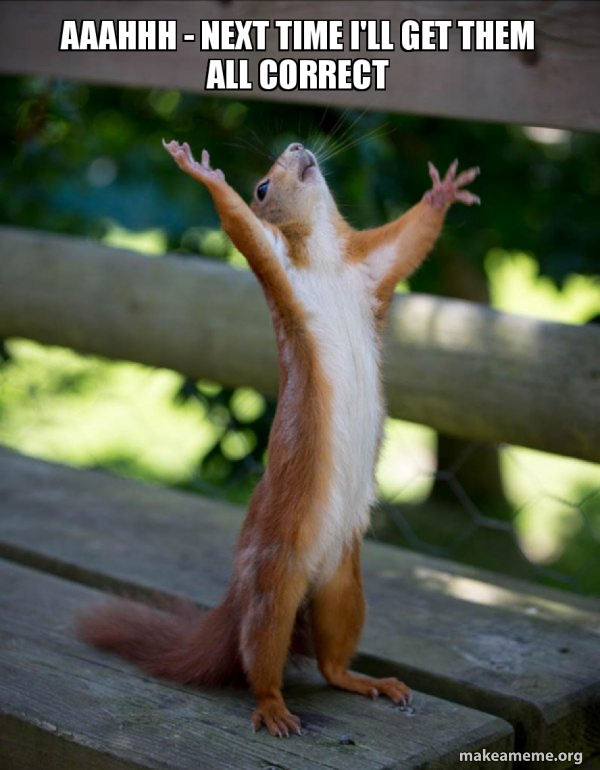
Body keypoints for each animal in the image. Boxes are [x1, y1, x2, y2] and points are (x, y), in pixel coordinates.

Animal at [77, 138, 479, 738]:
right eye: (262, 186)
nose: (296, 147)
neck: (327, 257)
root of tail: (239, 595)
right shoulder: (277, 266)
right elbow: (240, 226)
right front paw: (204, 174)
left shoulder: (372, 267)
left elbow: (409, 240)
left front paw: (443, 192)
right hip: (273, 584)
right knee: (260, 658)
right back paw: (273, 708)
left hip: (344, 586)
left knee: (332, 661)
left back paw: (368, 681)